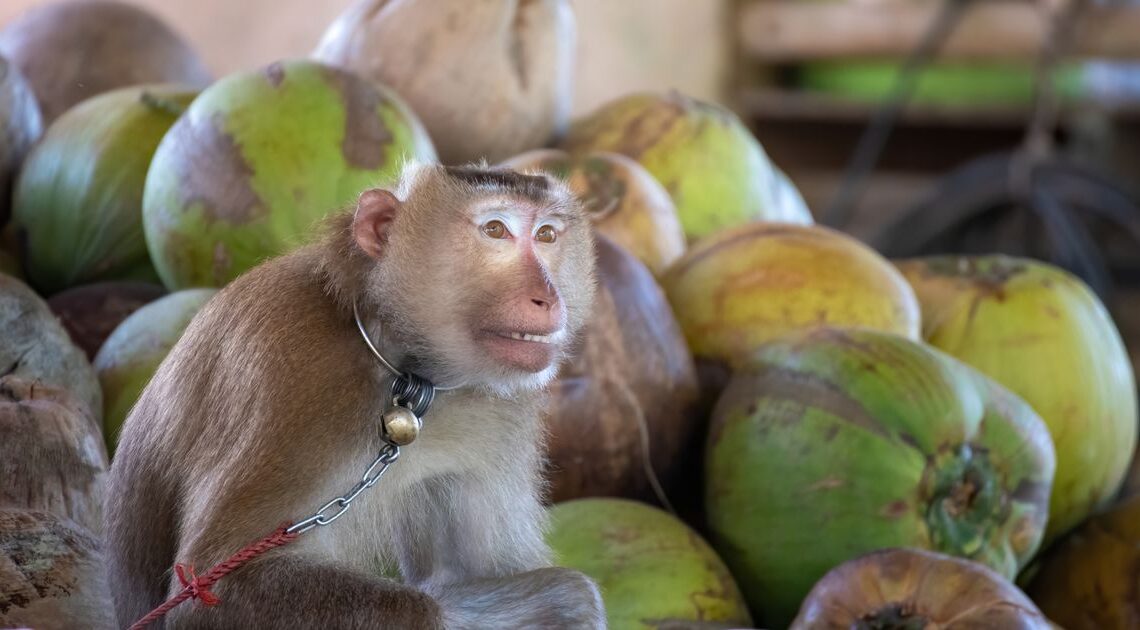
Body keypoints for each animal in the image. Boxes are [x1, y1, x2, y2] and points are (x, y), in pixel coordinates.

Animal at [104, 162, 606, 628]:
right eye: (496, 230)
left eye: (546, 235)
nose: (547, 297)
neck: (407, 375)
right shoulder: (287, 374)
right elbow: (211, 592)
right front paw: (556, 601)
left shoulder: (497, 416)